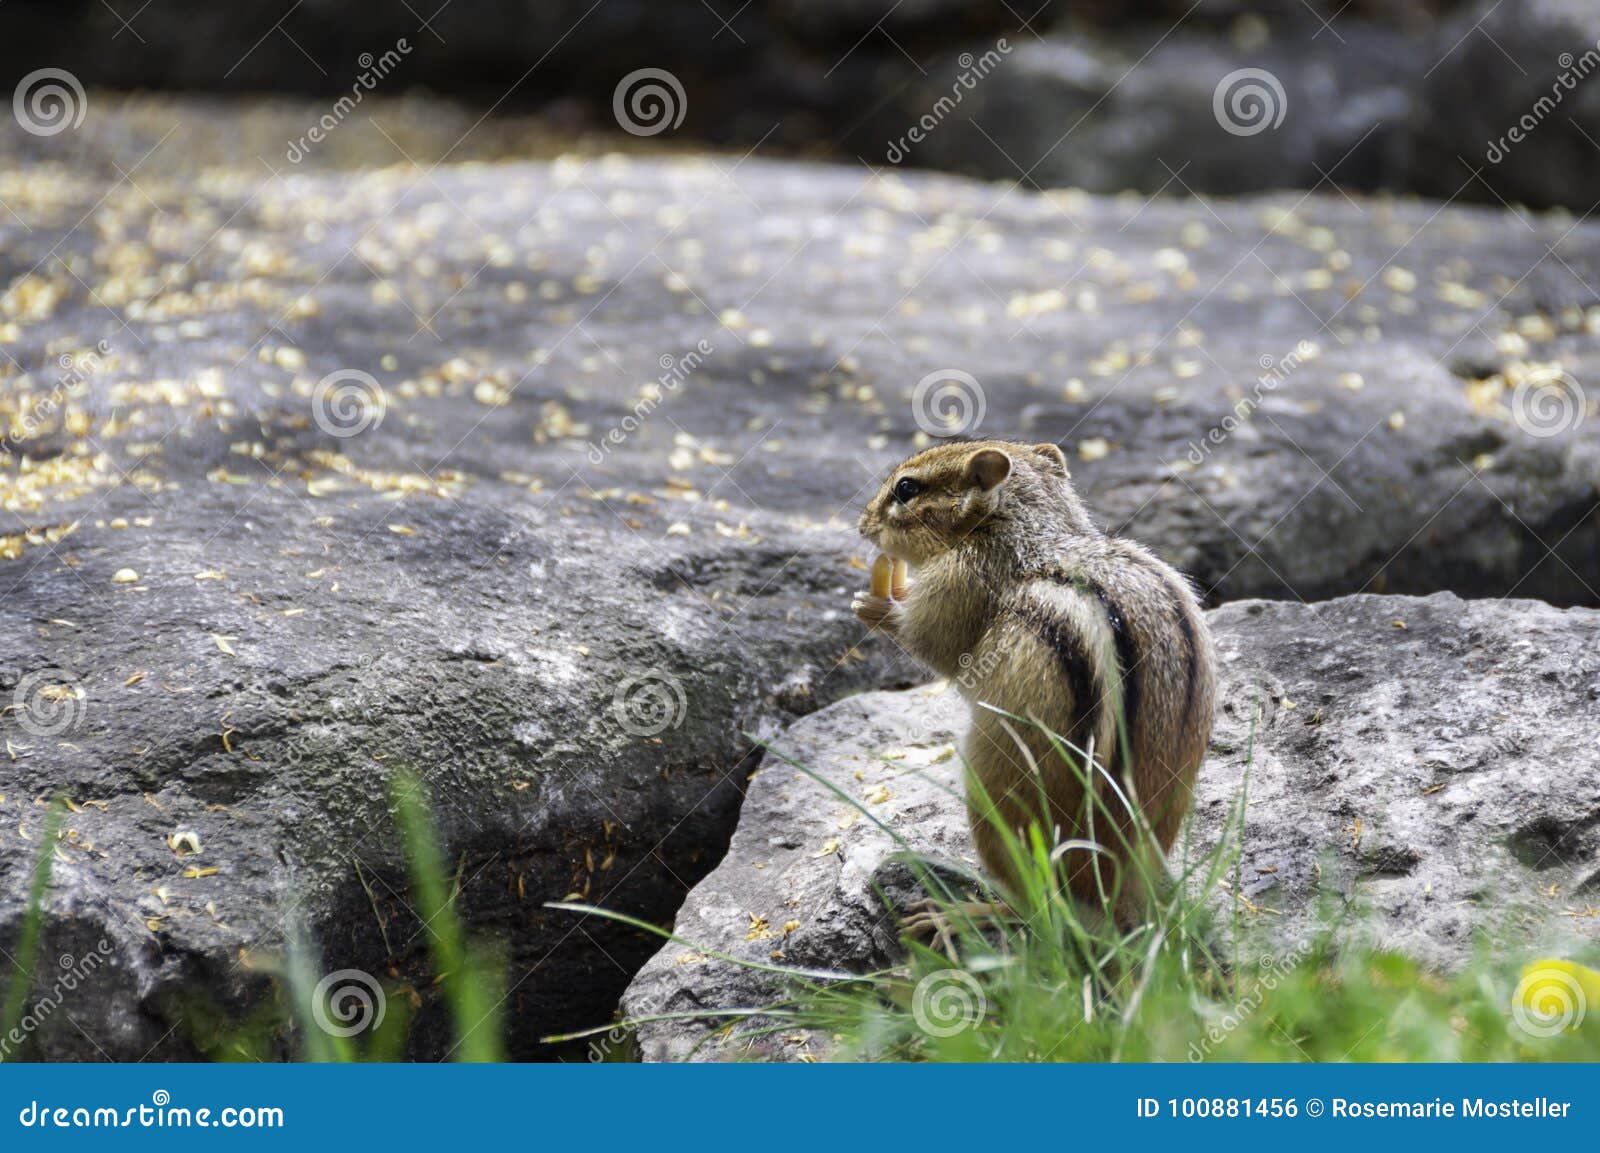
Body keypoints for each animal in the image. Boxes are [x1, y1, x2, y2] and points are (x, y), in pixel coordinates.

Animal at [853, 439, 1215, 925]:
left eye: (906, 489)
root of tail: (1115, 894)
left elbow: (933, 643)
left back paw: (960, 914)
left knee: (1038, 908)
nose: (863, 525)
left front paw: (879, 606)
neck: (1026, 529)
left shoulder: (960, 586)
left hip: (995, 794)